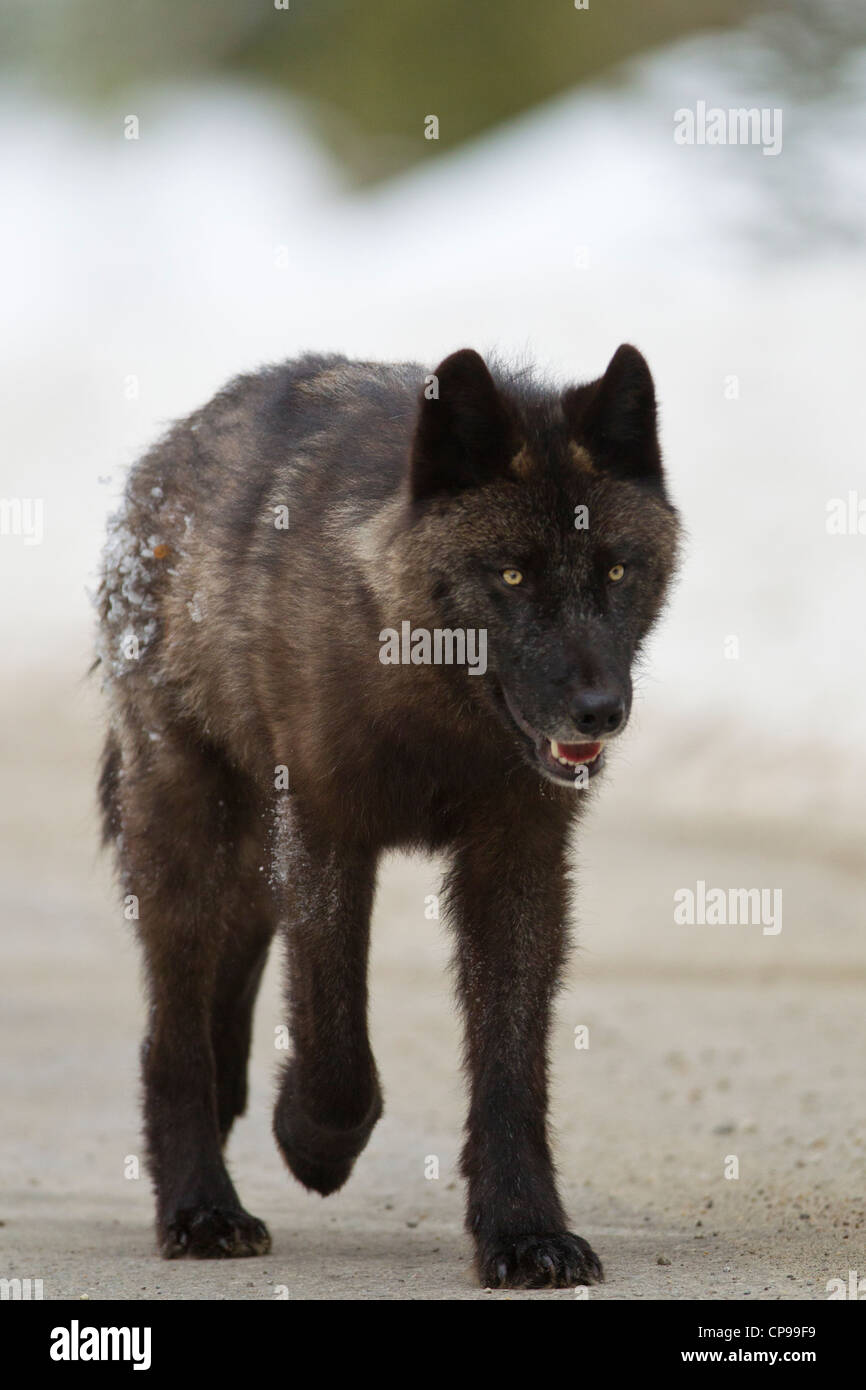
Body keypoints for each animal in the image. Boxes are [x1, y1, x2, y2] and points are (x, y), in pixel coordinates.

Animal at [96, 343, 680, 1289]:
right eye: (512, 574)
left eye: (618, 571)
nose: (601, 712)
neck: (436, 711)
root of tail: (166, 454)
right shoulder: (328, 831)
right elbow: (333, 1047)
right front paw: (312, 1144)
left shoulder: (517, 860)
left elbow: (513, 1065)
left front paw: (525, 1232)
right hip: (185, 830)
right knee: (171, 1038)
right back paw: (201, 1209)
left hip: (250, 854)